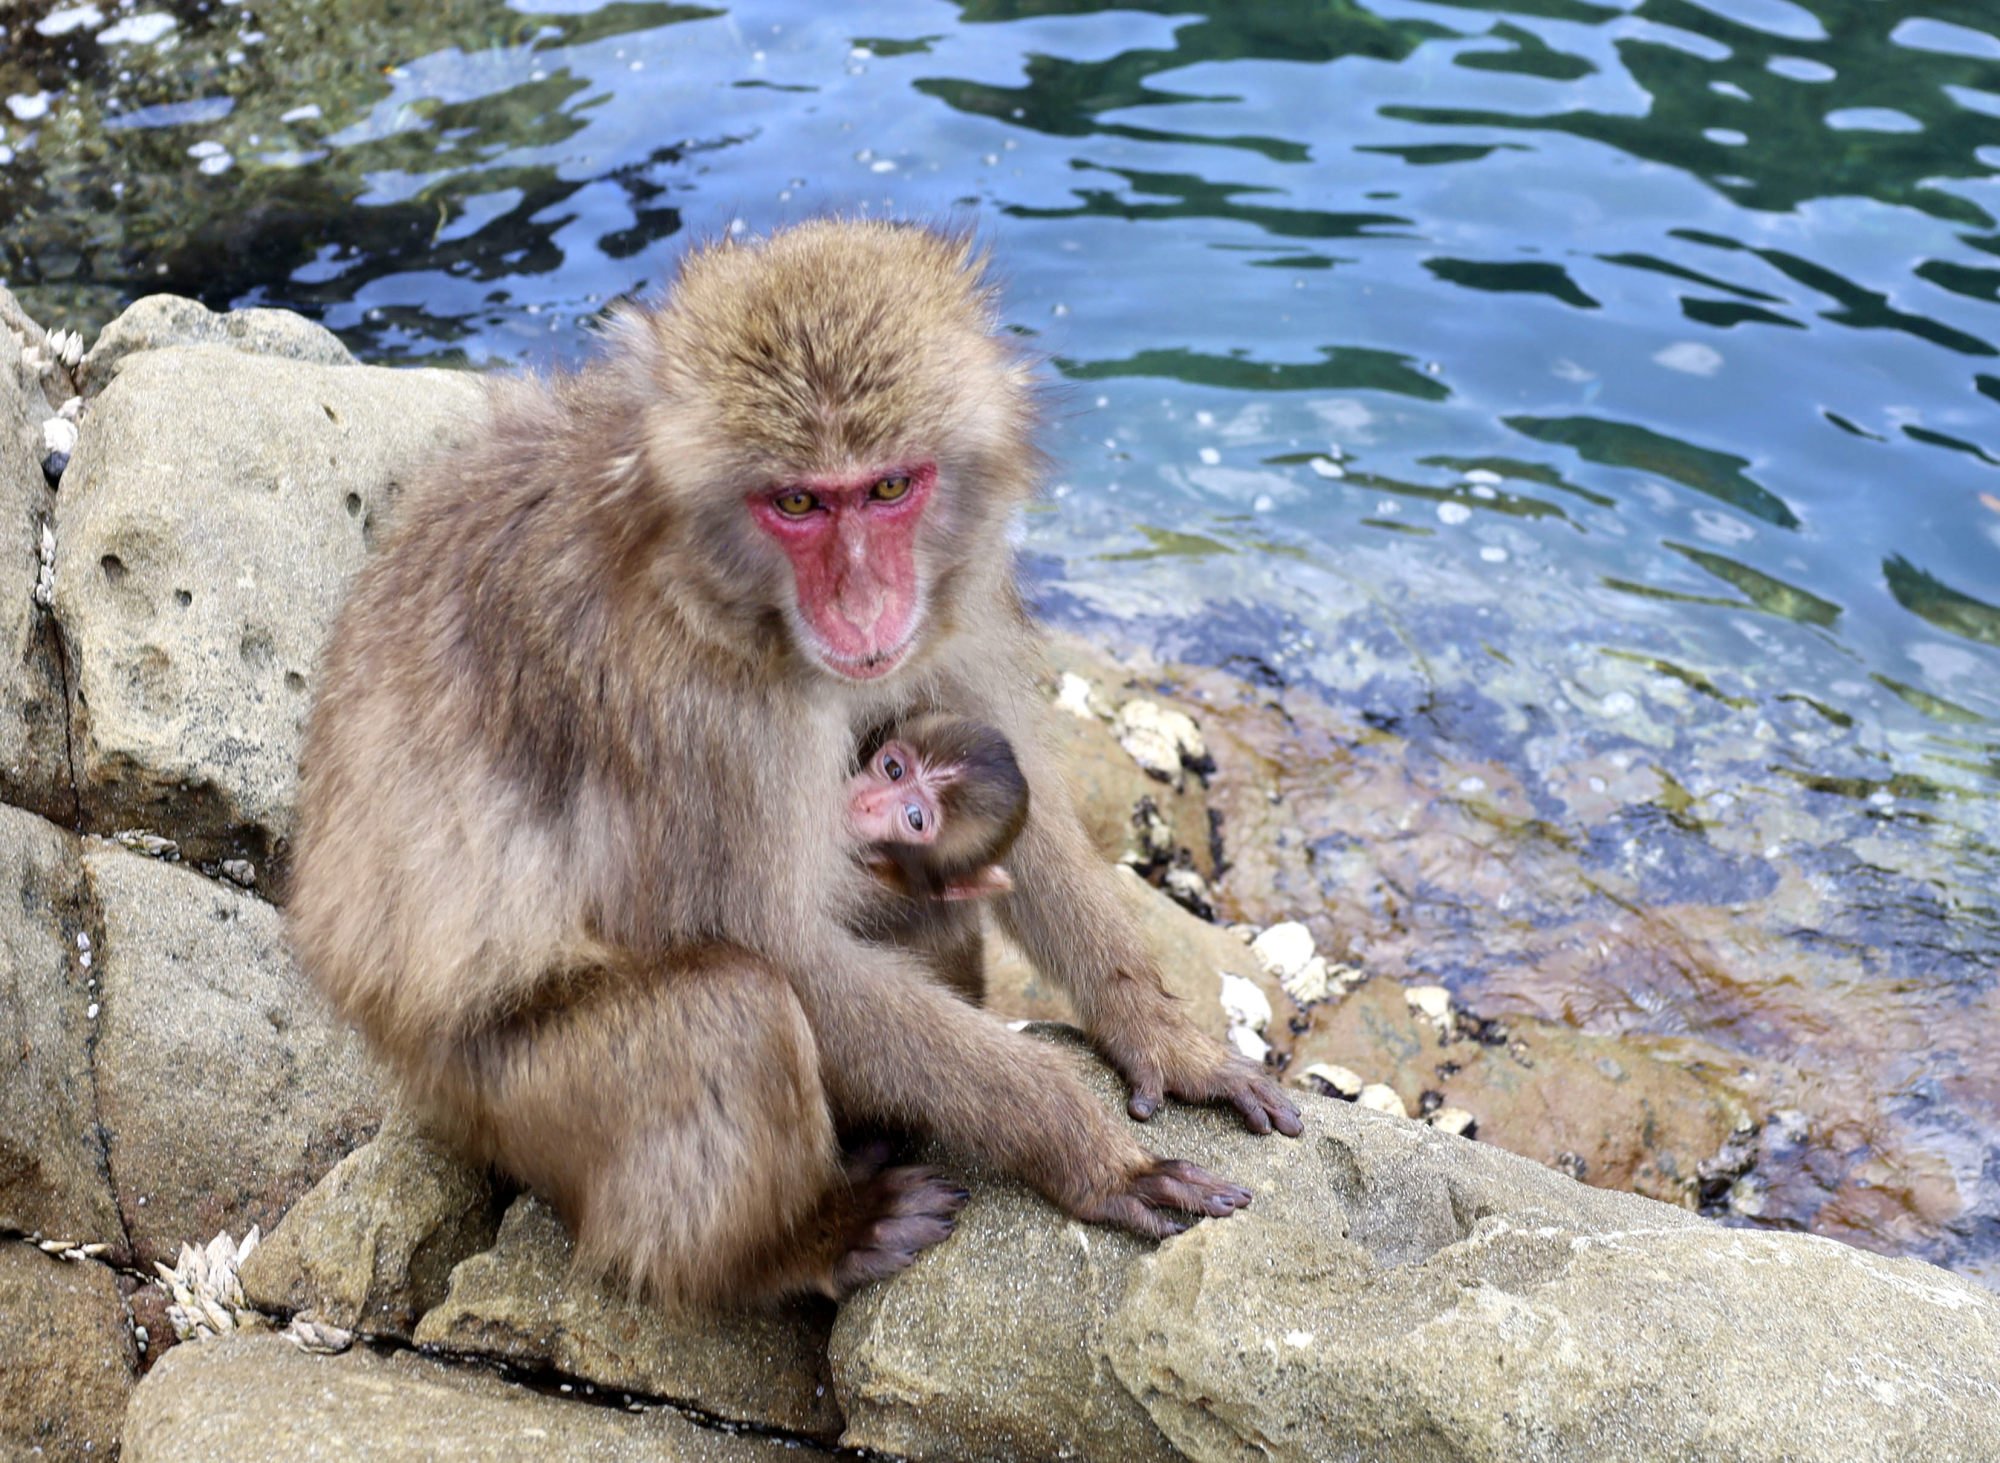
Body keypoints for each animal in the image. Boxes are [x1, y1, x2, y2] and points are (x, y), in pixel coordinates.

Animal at [291, 218, 1302, 1309]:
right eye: (798, 502)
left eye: (890, 486)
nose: (863, 609)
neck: (721, 593)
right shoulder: (687, 708)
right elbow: (779, 944)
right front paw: (1078, 1142)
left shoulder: (954, 596)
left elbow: (1014, 801)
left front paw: (1163, 1034)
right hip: (497, 1099)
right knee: (729, 1007)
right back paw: (792, 1246)